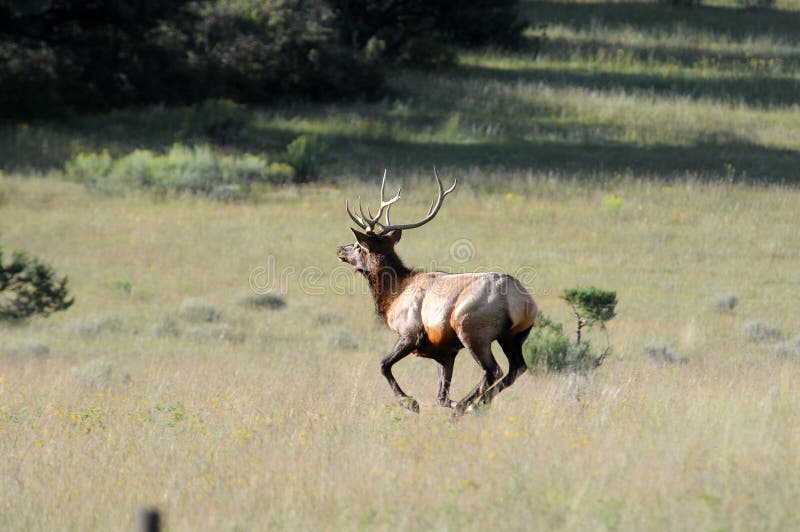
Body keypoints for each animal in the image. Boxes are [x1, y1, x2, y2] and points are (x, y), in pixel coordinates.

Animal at [336, 170, 537, 415]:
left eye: (358, 246)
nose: (339, 249)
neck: (393, 296)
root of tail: (524, 303)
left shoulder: (411, 333)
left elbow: (383, 365)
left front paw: (410, 402)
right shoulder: (445, 351)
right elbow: (441, 396)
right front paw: (445, 402)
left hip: (472, 330)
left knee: (493, 370)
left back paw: (466, 406)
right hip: (514, 336)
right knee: (517, 368)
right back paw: (472, 404)